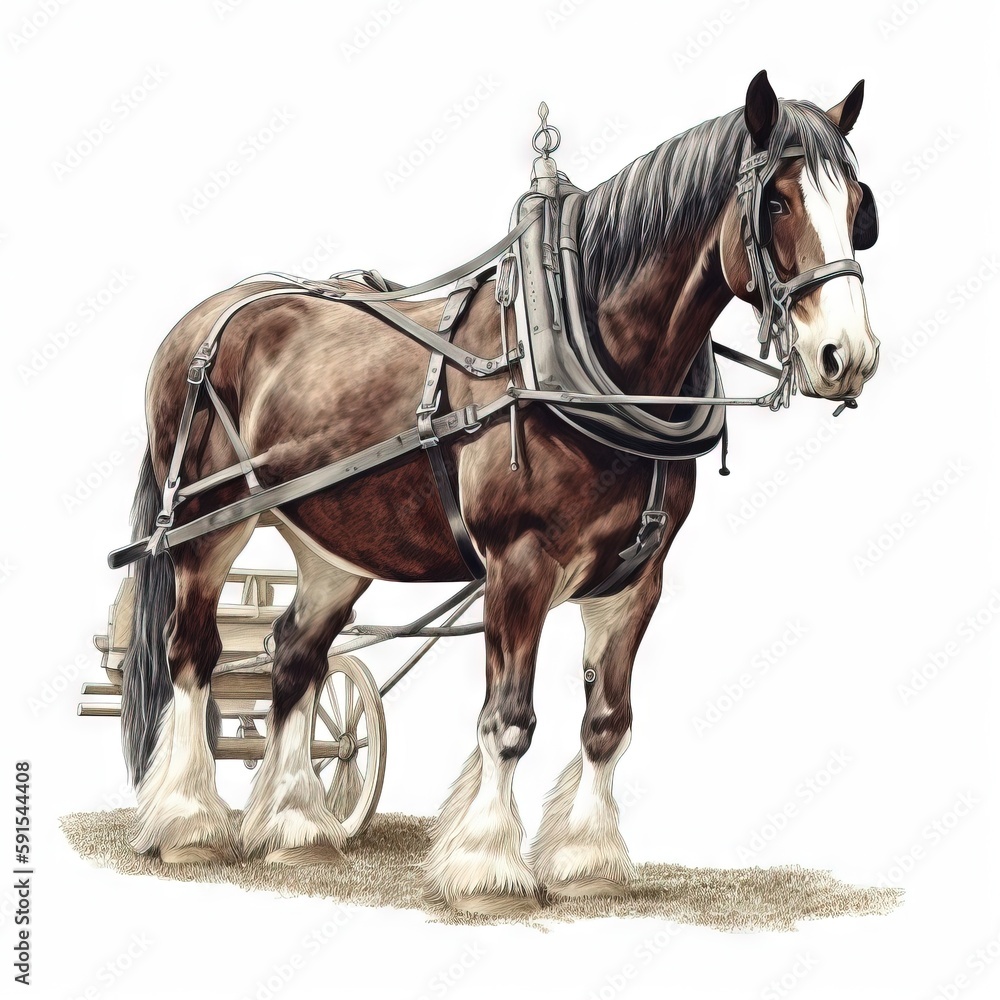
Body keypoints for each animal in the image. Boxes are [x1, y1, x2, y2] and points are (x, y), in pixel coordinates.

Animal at [118, 70, 879, 915]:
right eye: (776, 202)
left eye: (858, 206)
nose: (847, 356)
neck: (580, 347)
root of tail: (205, 317)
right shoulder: (518, 565)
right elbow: (508, 720)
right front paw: (488, 866)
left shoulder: (637, 578)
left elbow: (608, 722)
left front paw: (586, 862)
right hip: (202, 525)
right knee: (192, 654)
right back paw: (187, 822)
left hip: (332, 545)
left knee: (295, 657)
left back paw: (295, 828)